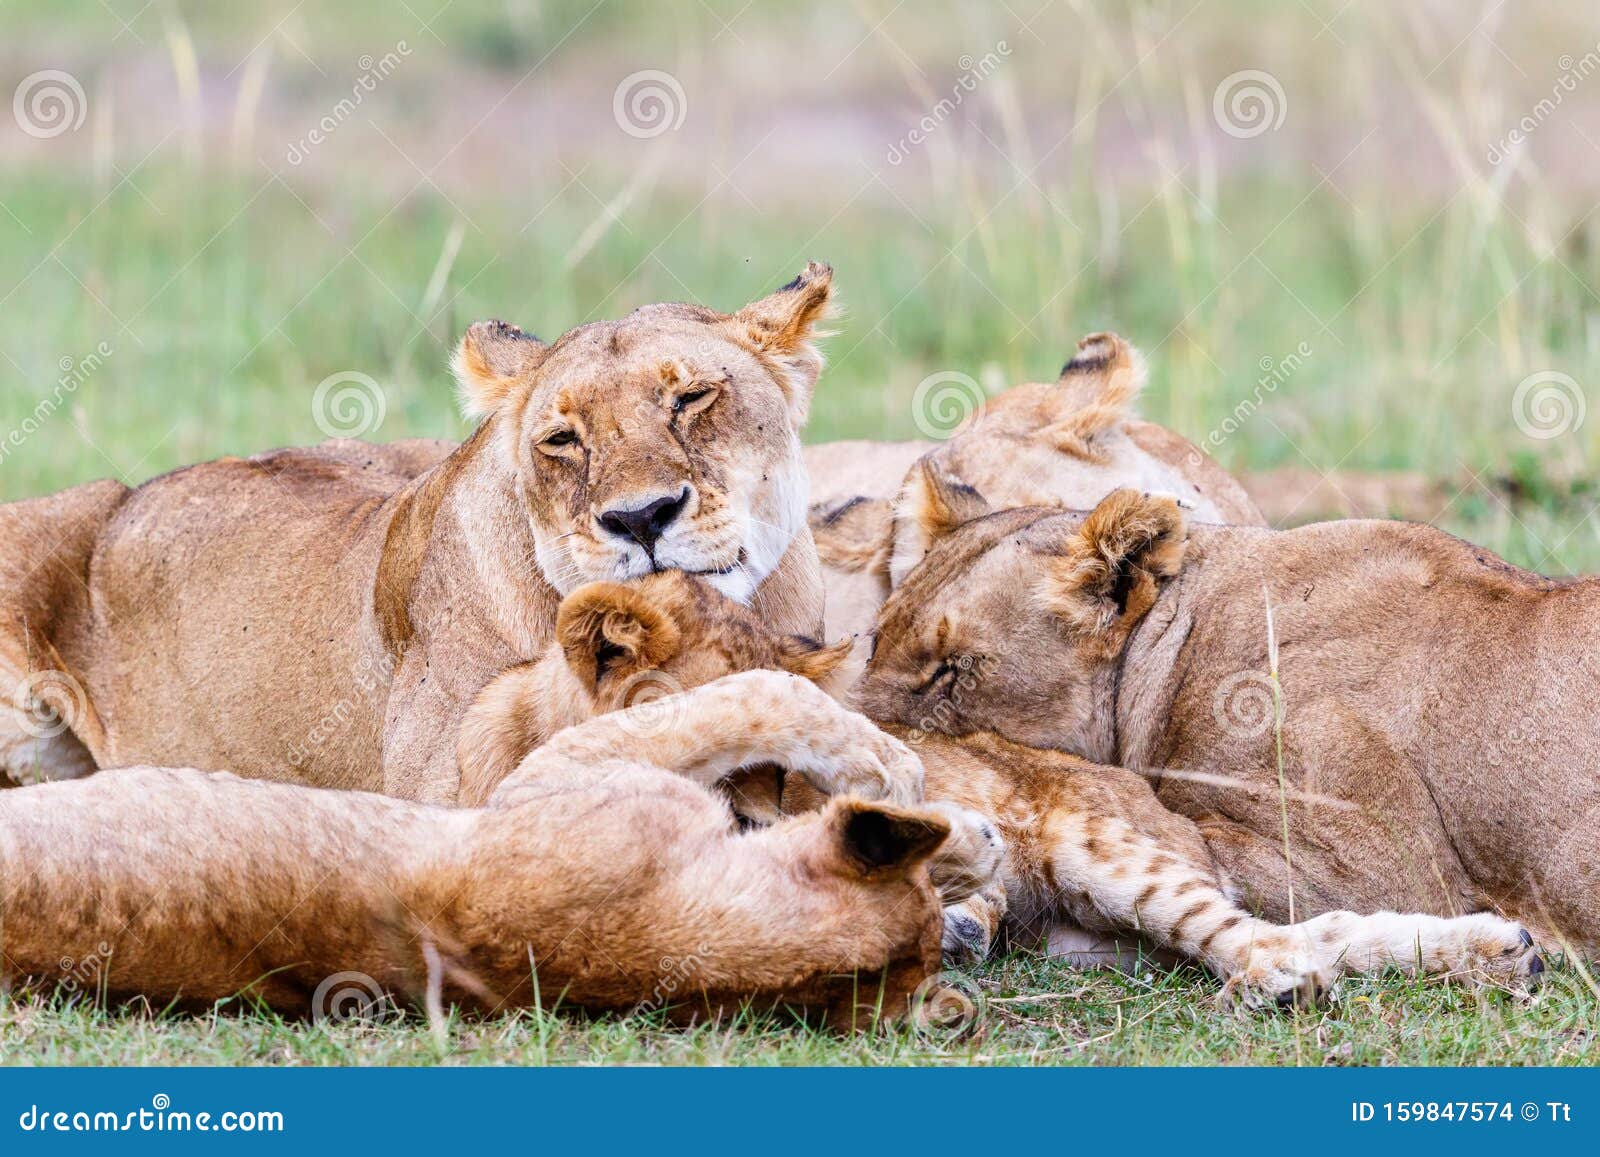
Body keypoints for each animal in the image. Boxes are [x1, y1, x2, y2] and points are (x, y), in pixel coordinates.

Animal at [455, 571, 1542, 1008]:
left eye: (784, 776)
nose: (766, 820)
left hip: (1108, 857)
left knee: (1267, 935)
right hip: (1102, 940)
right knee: (1312, 930)